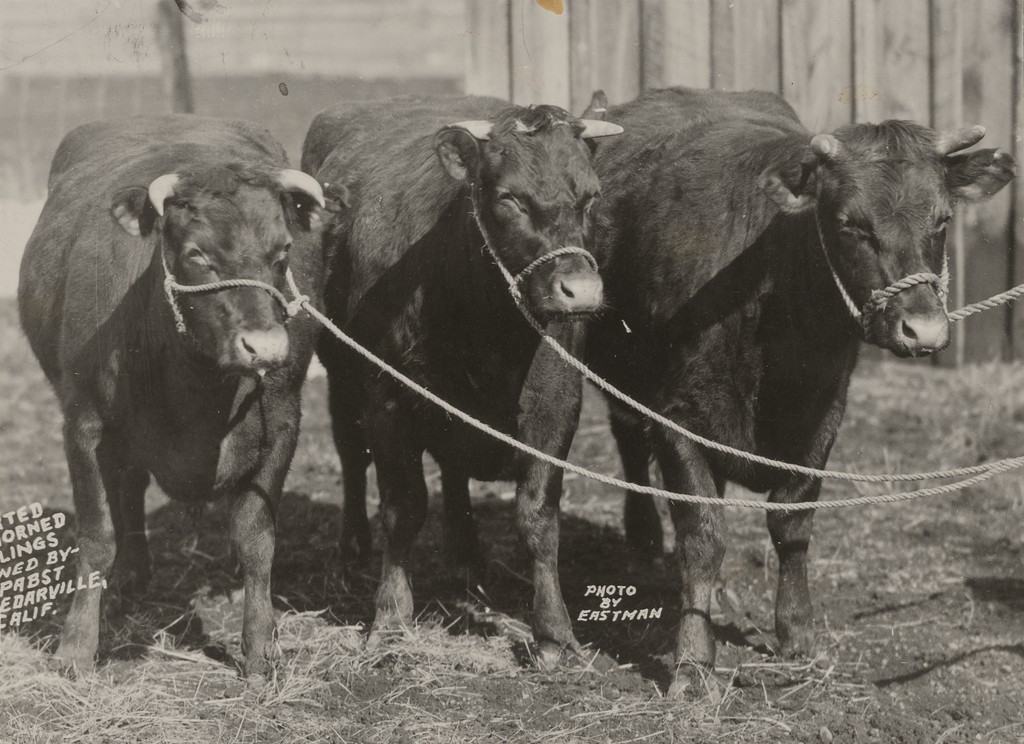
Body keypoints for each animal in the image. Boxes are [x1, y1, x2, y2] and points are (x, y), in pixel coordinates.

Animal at [18, 115, 341, 676]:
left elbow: (257, 537)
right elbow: (96, 537)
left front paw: (260, 647)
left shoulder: (282, 423)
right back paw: (132, 576)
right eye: (197, 255)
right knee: (127, 493)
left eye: (282, 253)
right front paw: (76, 647)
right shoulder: (83, 424)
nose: (265, 346)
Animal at [304, 95, 622, 667]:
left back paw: (466, 559)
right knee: (351, 458)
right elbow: (403, 507)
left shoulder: (557, 401)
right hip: (340, 375)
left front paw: (554, 633)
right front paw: (390, 619)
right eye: (509, 198)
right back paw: (352, 550)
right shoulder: (386, 398)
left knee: (453, 475)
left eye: (591, 197)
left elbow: (538, 517)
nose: (580, 290)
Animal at [582, 87, 1015, 694]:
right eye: (850, 223)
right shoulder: (677, 415)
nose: (924, 330)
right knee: (627, 440)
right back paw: (644, 540)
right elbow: (703, 534)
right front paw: (693, 661)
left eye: (943, 219)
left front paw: (796, 635)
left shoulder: (823, 412)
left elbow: (791, 524)